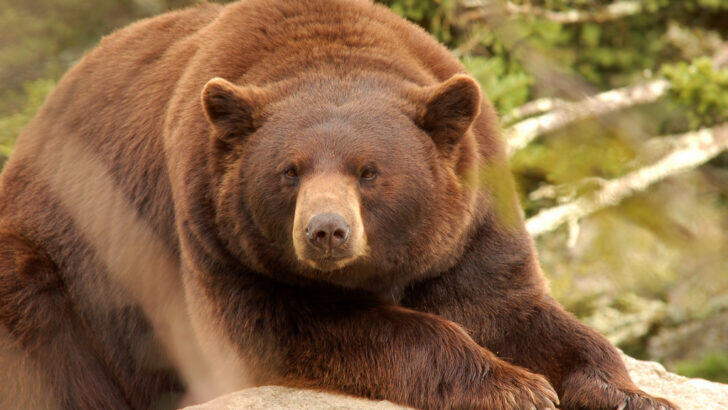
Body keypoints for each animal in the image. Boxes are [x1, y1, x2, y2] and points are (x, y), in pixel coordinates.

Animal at [0, 0, 676, 409]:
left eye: (369, 172)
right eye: (289, 172)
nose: (326, 231)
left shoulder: (472, 221)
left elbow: (513, 310)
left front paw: (629, 391)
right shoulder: (213, 232)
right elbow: (301, 328)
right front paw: (513, 385)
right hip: (65, 261)